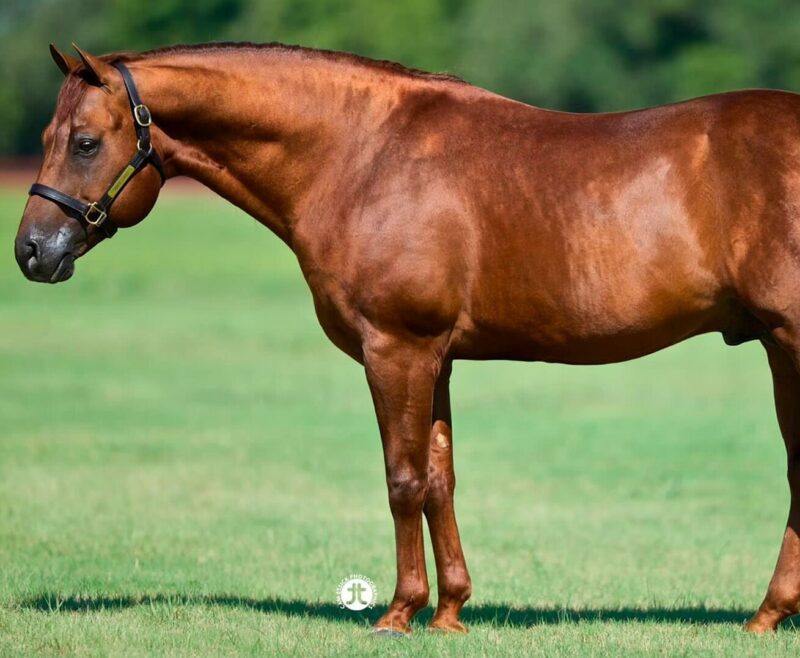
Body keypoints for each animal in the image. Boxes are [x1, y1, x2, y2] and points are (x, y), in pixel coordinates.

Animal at [14, 41, 800, 635]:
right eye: (47, 140)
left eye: (85, 142)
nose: (31, 252)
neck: (362, 156)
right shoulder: (438, 358)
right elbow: (439, 478)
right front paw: (450, 611)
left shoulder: (397, 349)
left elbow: (402, 479)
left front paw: (398, 612)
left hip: (788, 345)